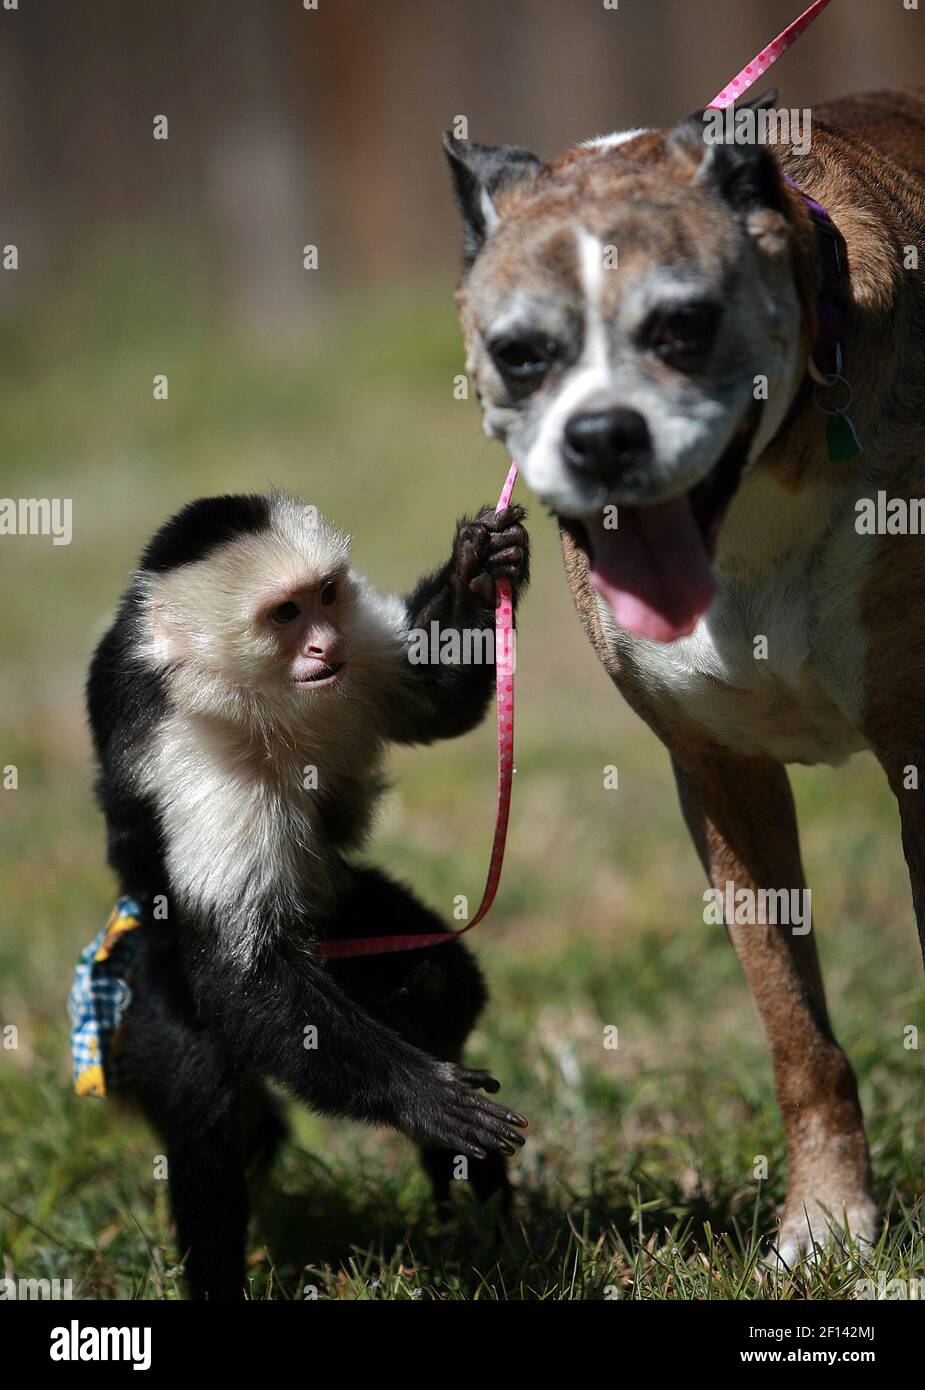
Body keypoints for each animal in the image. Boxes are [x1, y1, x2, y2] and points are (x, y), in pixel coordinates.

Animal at [85, 490, 530, 1299]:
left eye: (324, 596)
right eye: (284, 616)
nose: (323, 648)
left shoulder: (361, 646)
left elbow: (434, 701)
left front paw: (480, 564)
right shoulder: (197, 757)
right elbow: (242, 968)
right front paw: (421, 1096)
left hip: (340, 906)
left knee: (438, 984)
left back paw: (479, 1218)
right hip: (152, 964)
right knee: (209, 1107)